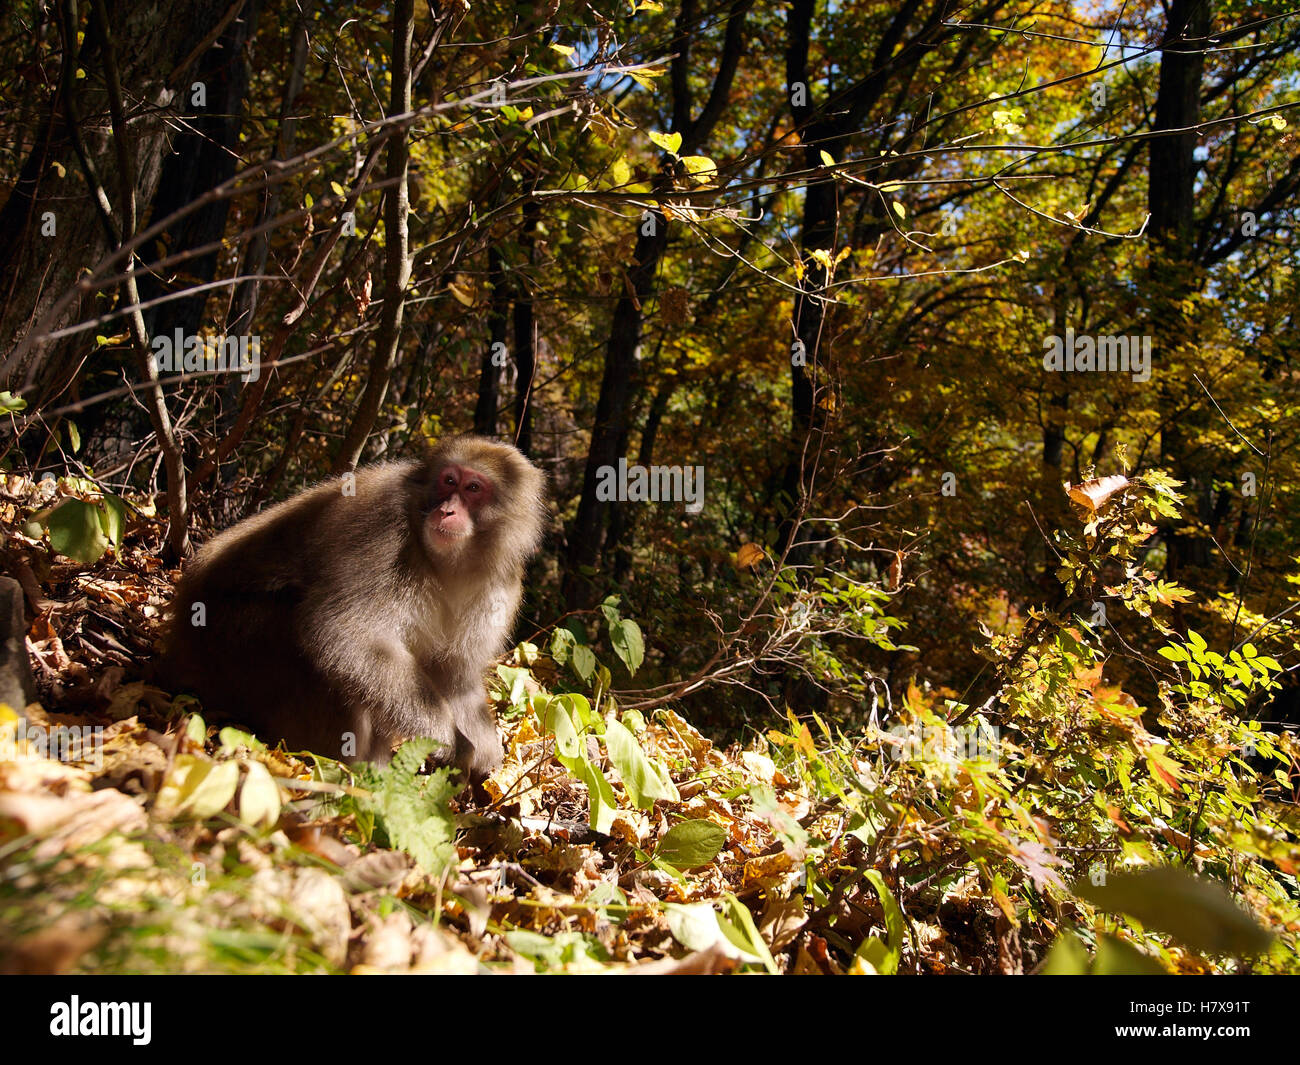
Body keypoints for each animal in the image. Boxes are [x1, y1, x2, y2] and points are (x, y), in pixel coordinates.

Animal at [163, 436, 546, 777]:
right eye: (449, 481)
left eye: (474, 488)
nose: (446, 510)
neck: (446, 563)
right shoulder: (380, 528)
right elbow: (344, 634)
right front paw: (450, 741)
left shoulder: (501, 586)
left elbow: (454, 677)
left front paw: (482, 753)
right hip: (229, 646)